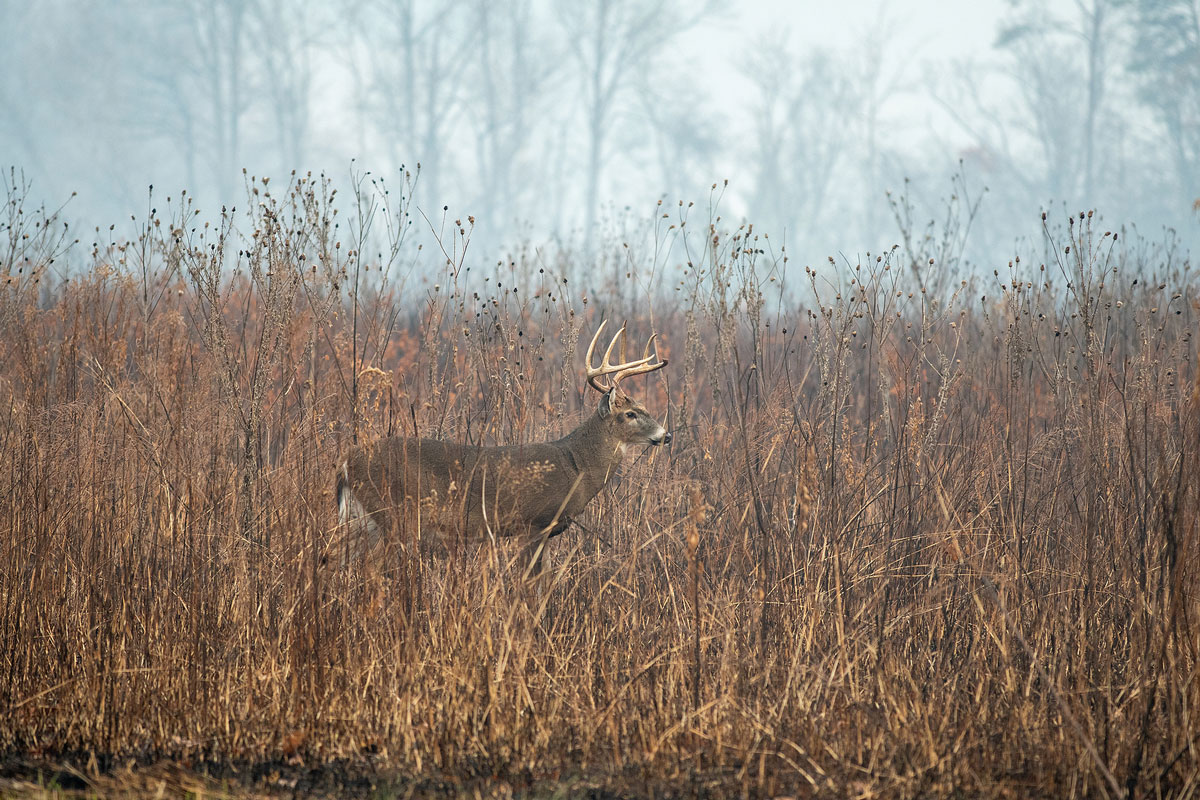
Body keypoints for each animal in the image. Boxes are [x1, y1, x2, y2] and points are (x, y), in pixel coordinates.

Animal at [336, 320, 671, 574]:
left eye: (643, 407)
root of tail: (346, 461)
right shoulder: (533, 523)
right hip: (394, 515)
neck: (576, 465)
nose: (665, 435)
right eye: (630, 414)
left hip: (364, 521)